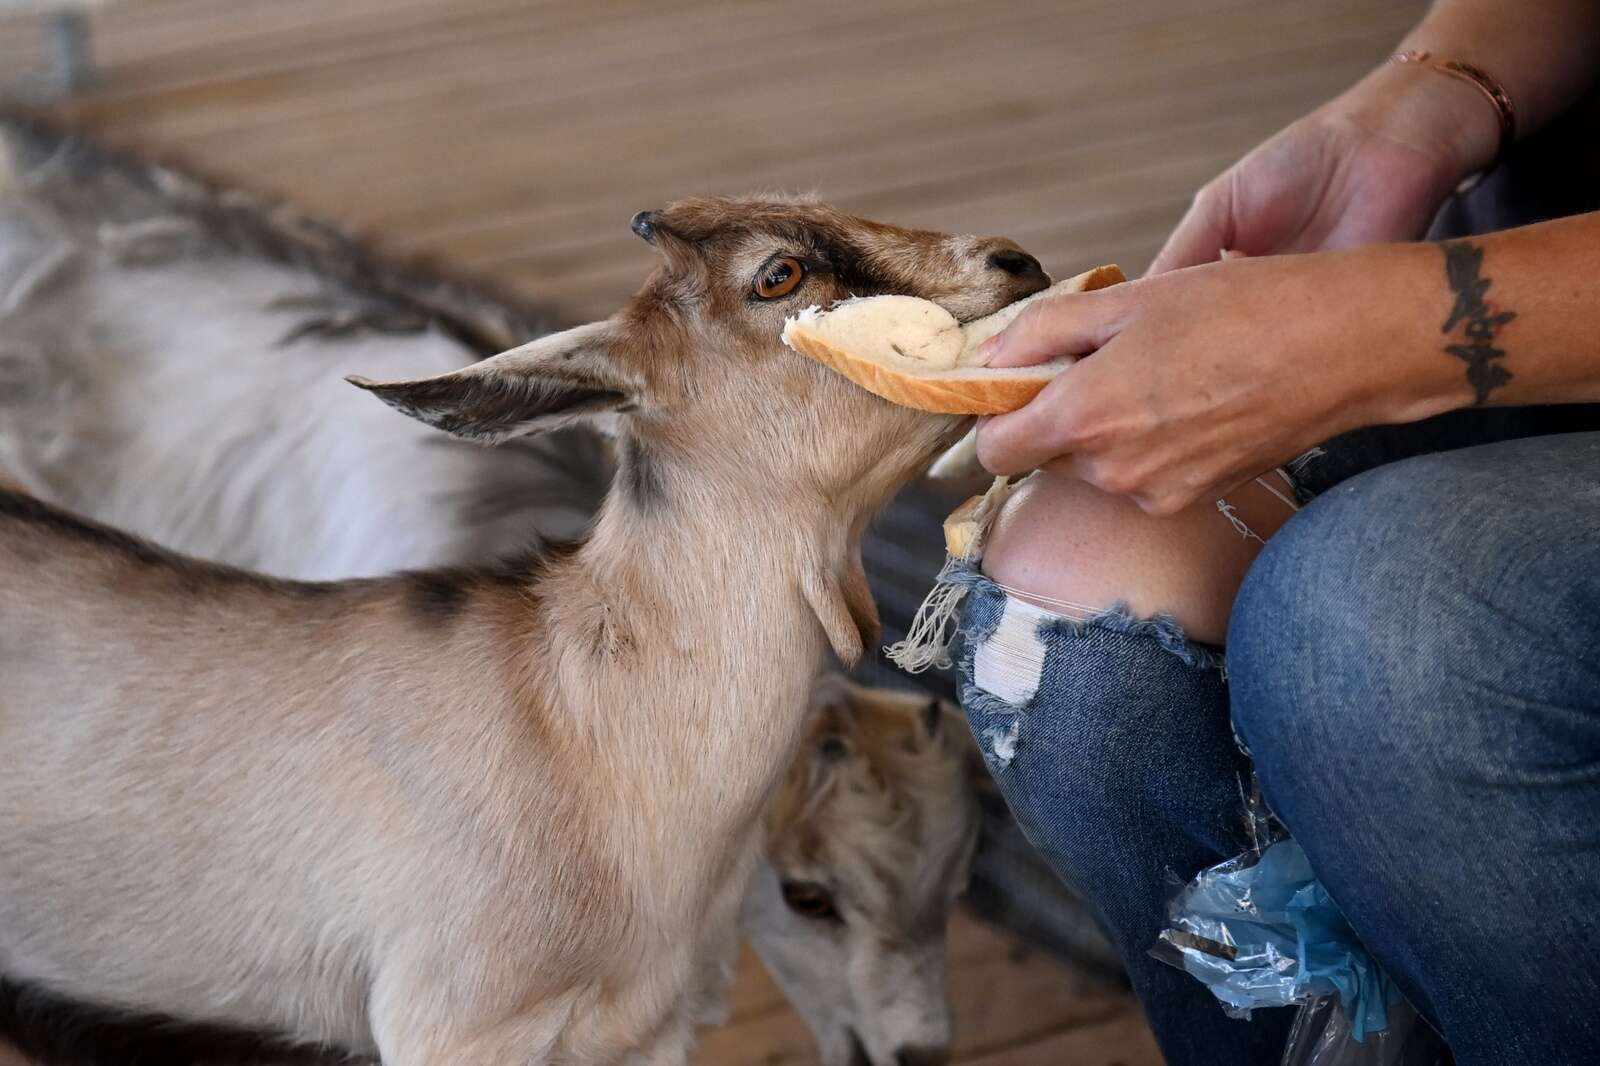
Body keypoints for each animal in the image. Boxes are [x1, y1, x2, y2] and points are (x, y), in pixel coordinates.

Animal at [0, 165, 1047, 1061]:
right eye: (778, 273)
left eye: (959, 880)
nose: (1018, 263)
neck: (574, 731)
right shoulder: (455, 1025)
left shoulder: (639, 1036)